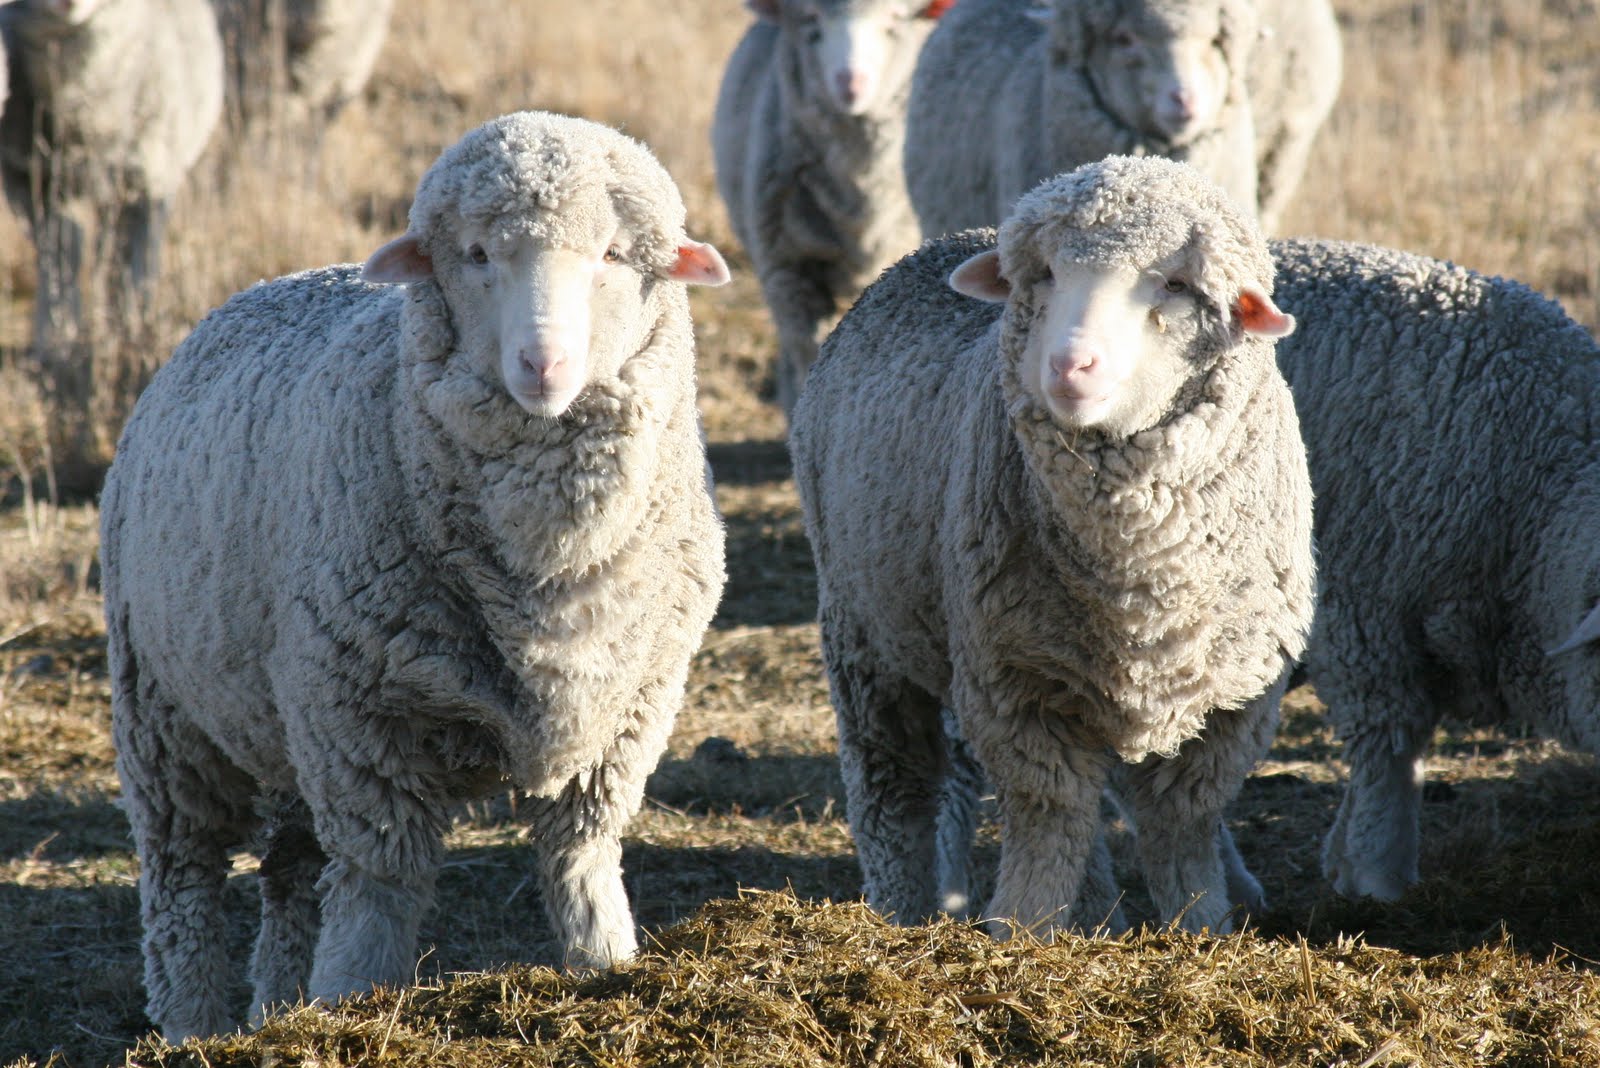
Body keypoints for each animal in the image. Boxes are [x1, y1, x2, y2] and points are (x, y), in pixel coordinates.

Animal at [0, 0, 225, 355]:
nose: (68, 4)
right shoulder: (29, 178)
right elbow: (63, 247)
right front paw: (57, 335)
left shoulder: (145, 180)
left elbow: (130, 254)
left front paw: (130, 326)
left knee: (120, 246)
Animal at [99, 110, 731, 1040]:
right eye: (474, 254)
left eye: (614, 255)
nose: (543, 364)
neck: (548, 572)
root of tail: (264, 283)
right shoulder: (364, 724)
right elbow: (380, 889)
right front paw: (352, 1003)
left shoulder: (624, 716)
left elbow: (580, 862)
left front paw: (607, 970)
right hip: (166, 715)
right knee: (186, 884)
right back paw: (193, 1027)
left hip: (283, 721)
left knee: (292, 875)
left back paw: (278, 1005)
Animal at [789, 156, 1315, 938]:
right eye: (1042, 274)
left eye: (1176, 284)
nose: (1070, 365)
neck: (1137, 576)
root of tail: (936, 244)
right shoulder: (1015, 678)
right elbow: (1046, 816)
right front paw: (1023, 934)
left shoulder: (1232, 701)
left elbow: (1181, 826)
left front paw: (1200, 931)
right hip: (865, 634)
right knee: (894, 789)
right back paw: (900, 914)